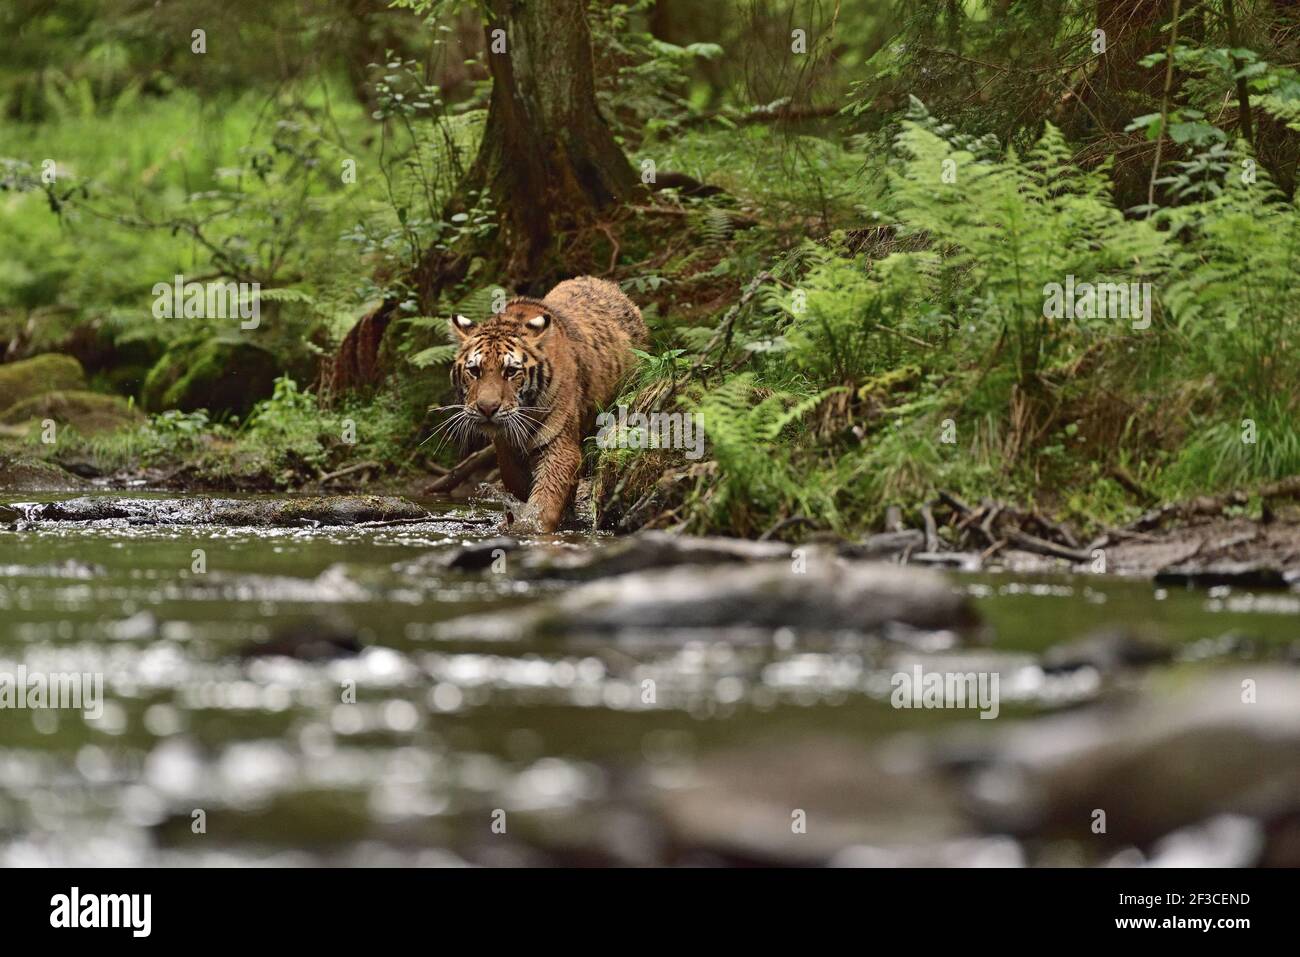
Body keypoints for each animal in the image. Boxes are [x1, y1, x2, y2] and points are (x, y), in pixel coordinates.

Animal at [447, 276, 648, 532]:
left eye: (510, 371)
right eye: (474, 371)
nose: (487, 408)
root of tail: (605, 283)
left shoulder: (559, 443)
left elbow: (547, 495)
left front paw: (533, 525)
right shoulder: (506, 448)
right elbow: (517, 485)